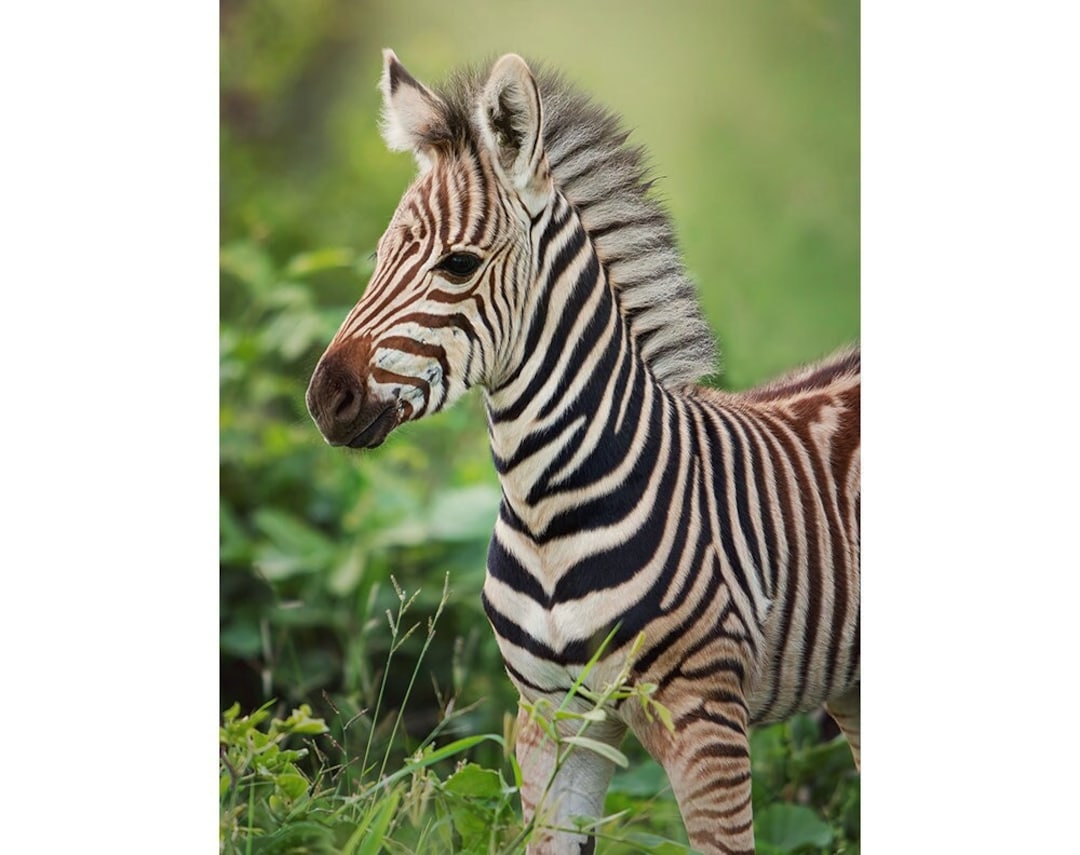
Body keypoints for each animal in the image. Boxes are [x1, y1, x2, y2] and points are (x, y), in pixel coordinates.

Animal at [306, 50, 859, 855]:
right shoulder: (553, 721)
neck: (546, 513)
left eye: (459, 265)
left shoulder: (705, 721)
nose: (324, 398)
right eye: (380, 257)